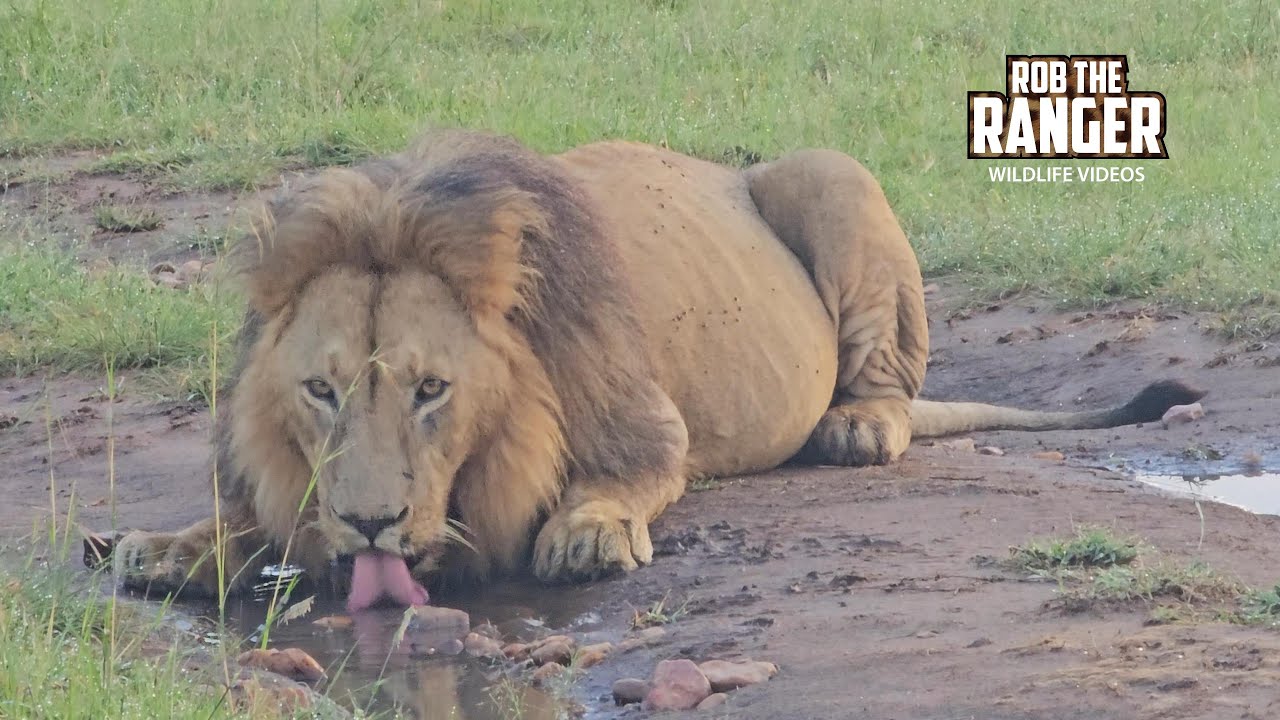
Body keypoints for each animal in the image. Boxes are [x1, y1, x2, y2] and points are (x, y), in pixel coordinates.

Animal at [111, 130, 1201, 609]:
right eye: (321, 391)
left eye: (432, 390)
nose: (373, 522)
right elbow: (248, 516)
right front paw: (172, 547)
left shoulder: (649, 424)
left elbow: (621, 479)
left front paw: (586, 535)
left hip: (832, 175)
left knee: (885, 383)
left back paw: (854, 425)